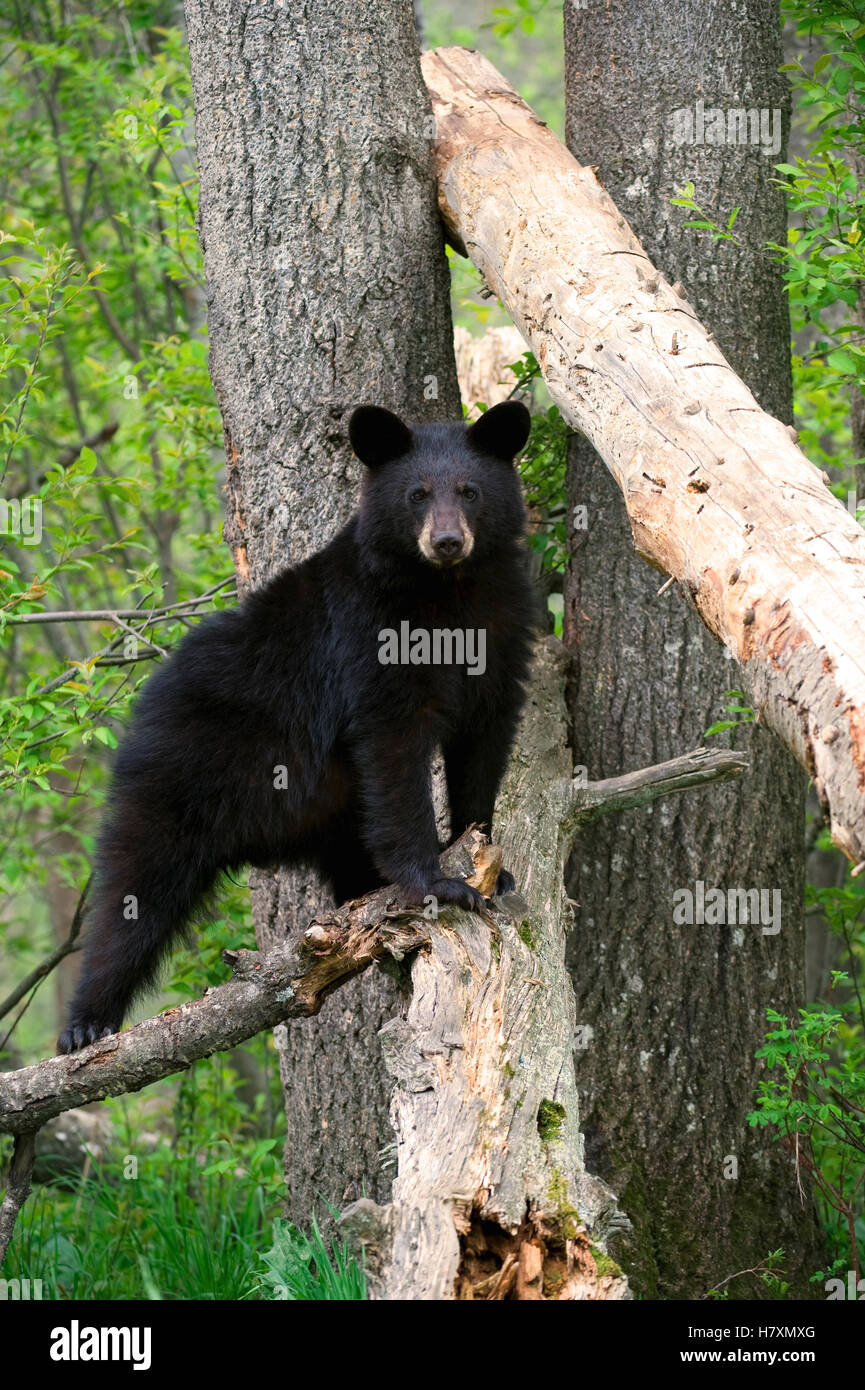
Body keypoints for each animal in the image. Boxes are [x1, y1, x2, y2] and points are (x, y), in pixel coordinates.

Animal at [57, 399, 537, 1053]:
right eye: (416, 494)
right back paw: (87, 1022)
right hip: (178, 776)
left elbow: (484, 745)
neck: (448, 594)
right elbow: (392, 752)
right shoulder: (370, 636)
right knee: (132, 893)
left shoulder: (502, 630)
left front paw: (488, 860)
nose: (445, 540)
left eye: (470, 491)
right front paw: (437, 882)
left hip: (328, 814)